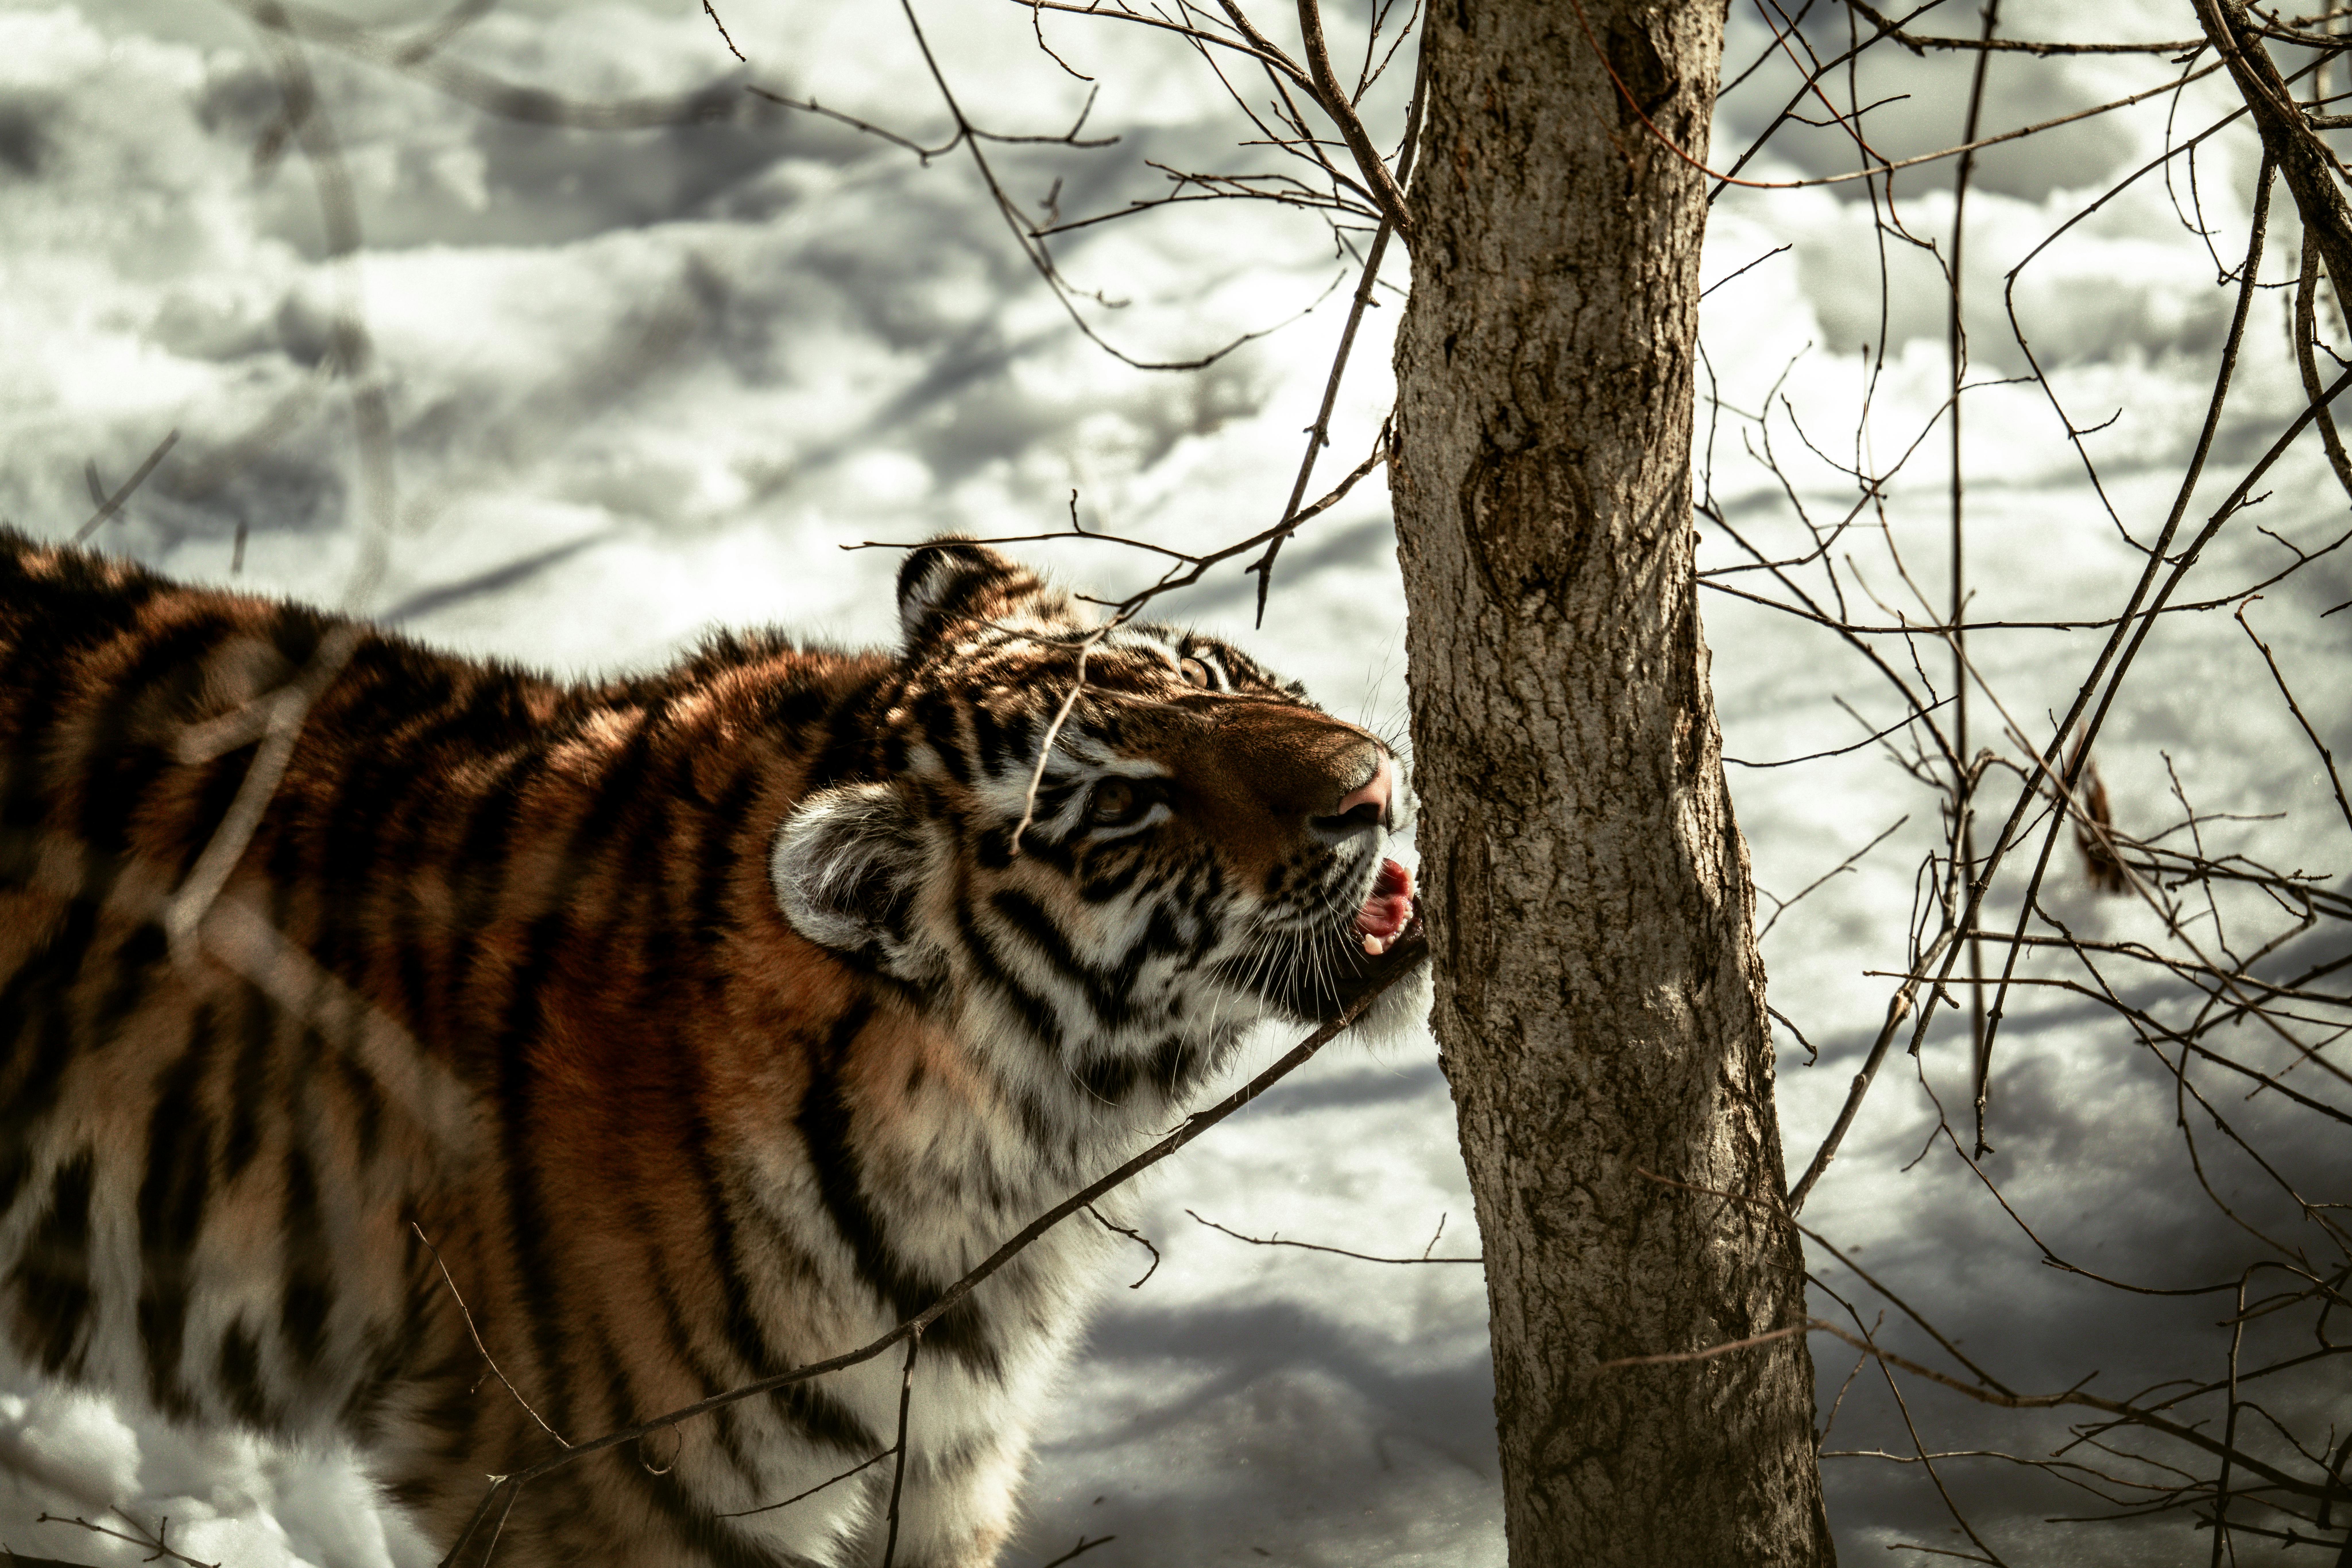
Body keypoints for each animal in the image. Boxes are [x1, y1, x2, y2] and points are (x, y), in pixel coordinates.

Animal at [0, 528, 1426, 1568]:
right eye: (1124, 807)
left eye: (1216, 675)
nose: (1369, 785)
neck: (1011, 1160)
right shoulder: (598, 1498)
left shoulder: (944, 1465)